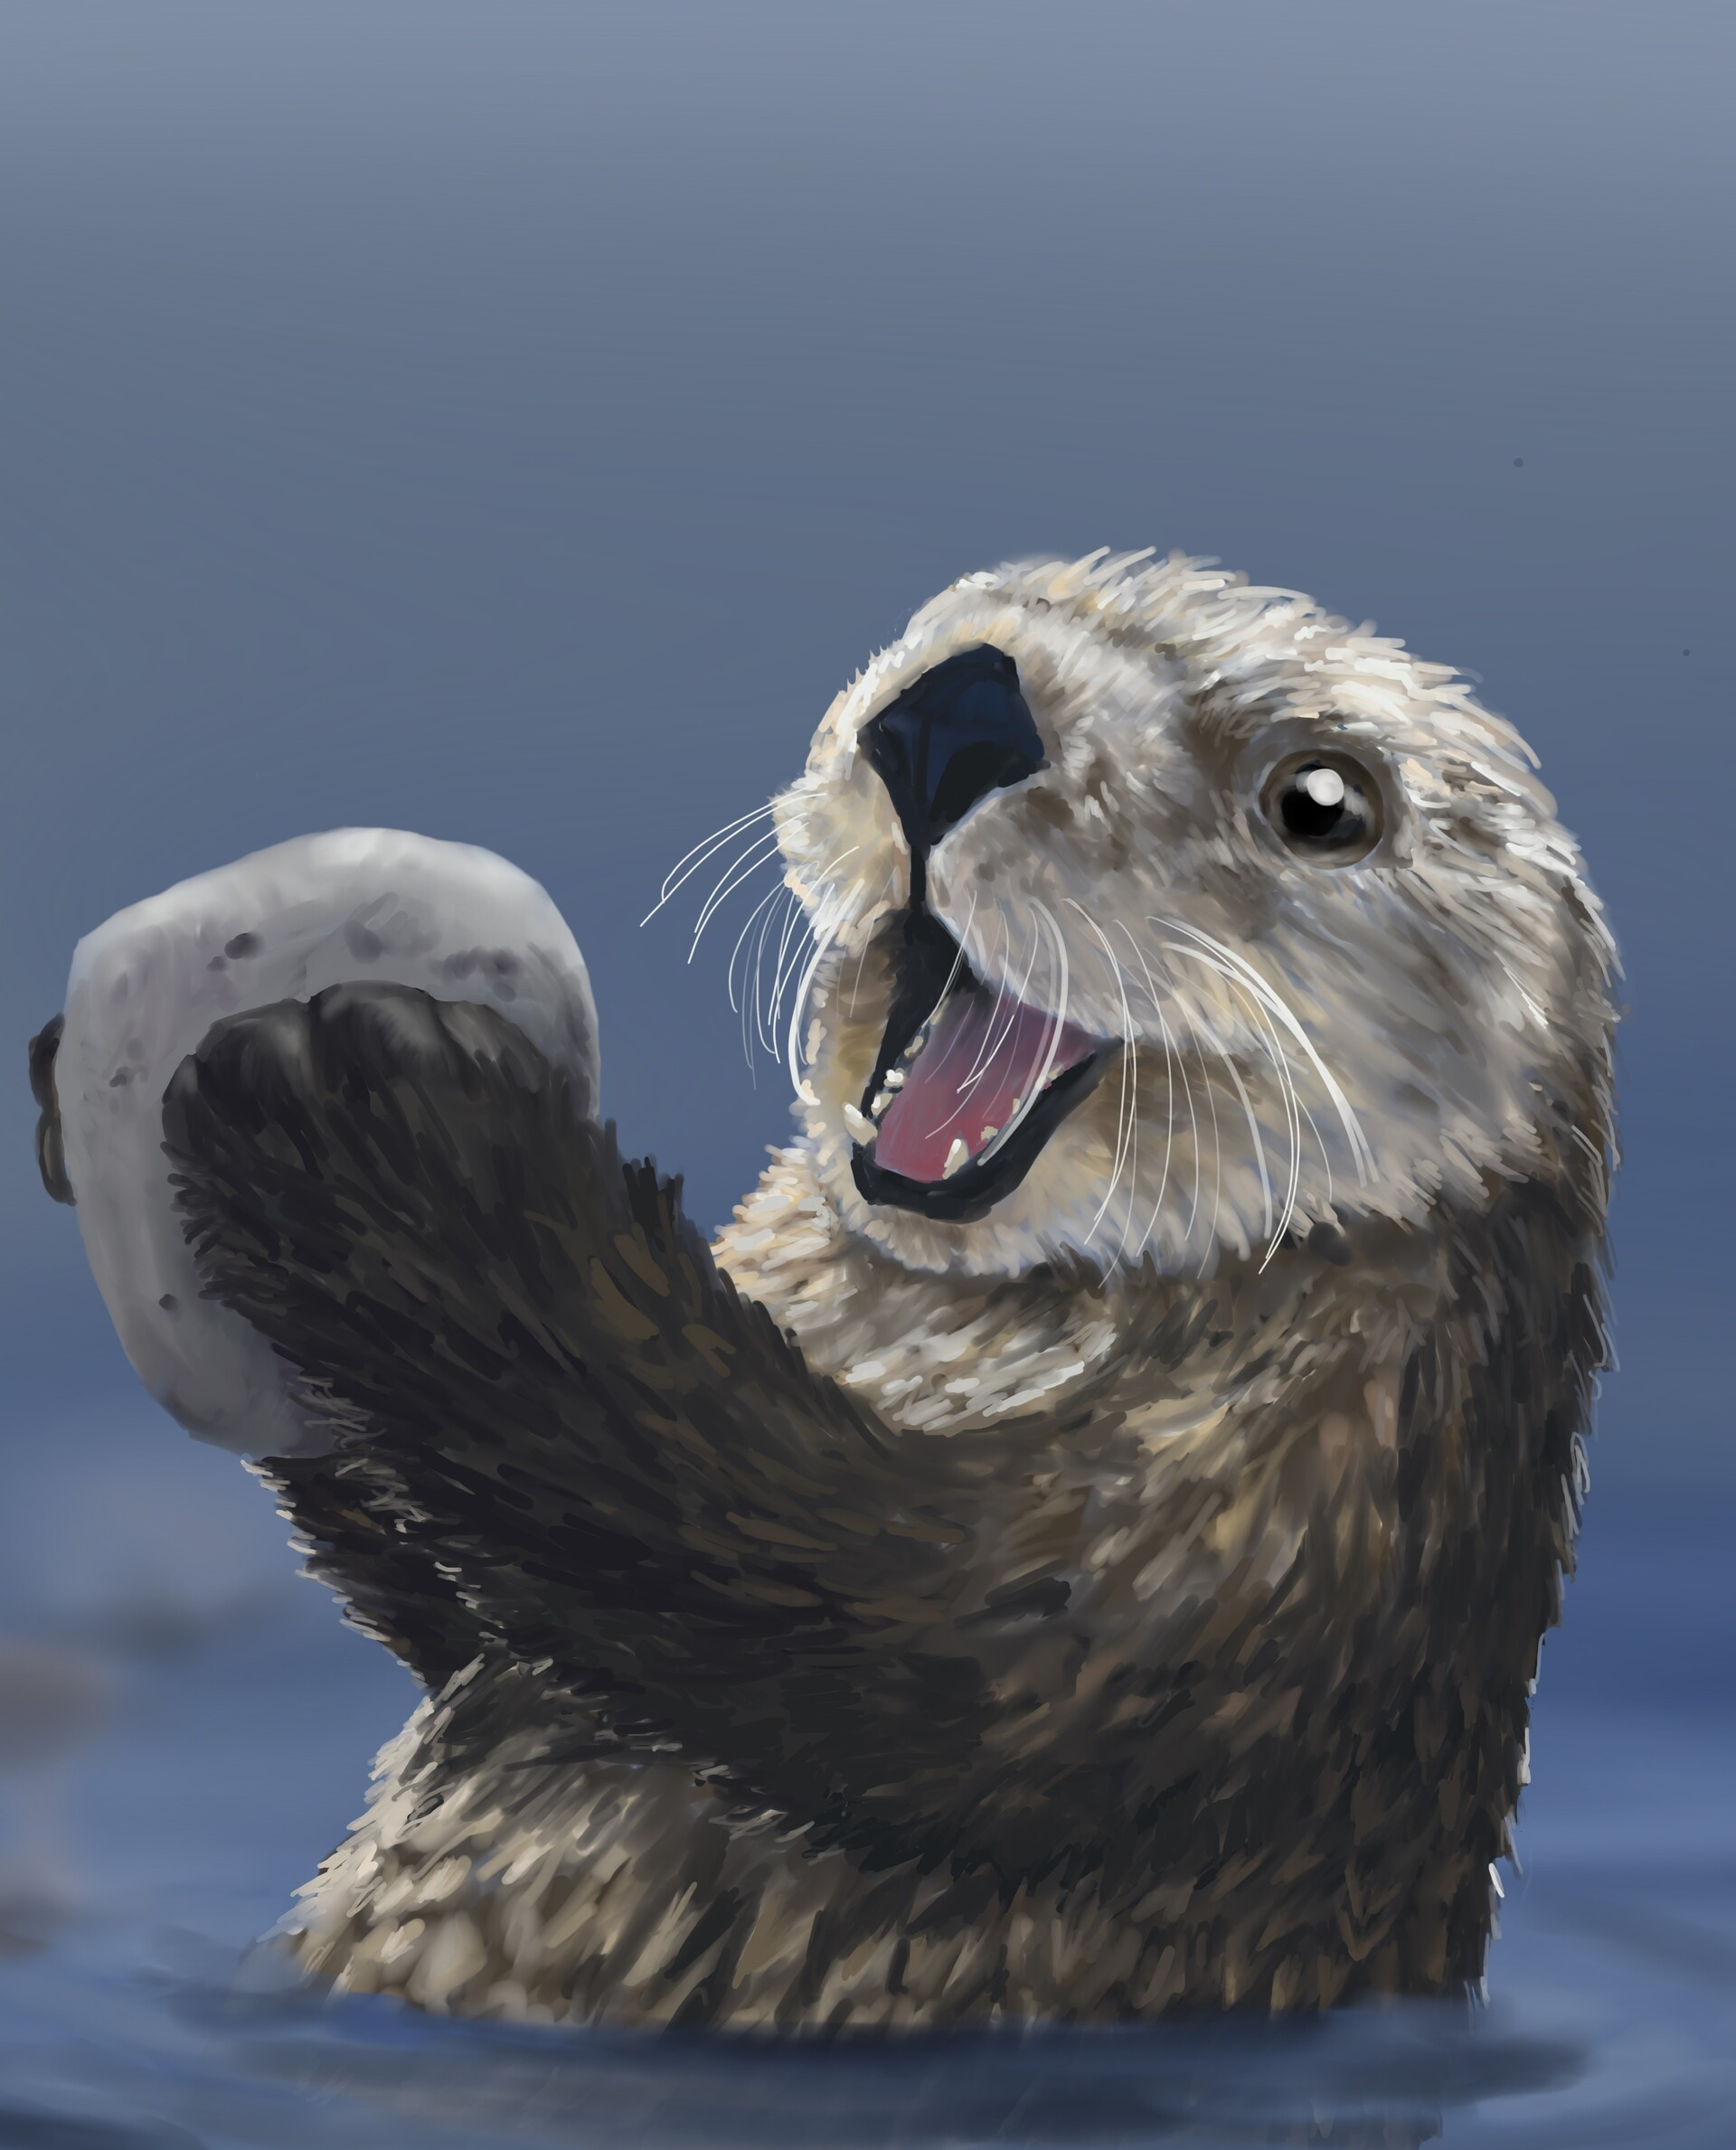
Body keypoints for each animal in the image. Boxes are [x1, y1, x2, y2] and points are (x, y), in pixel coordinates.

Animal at [30, 550, 1616, 2030]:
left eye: (1325, 798)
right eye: (954, 620)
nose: (957, 709)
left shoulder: (1297, 1530)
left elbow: (847, 1602)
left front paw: (388, 1121)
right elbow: (466, 1601)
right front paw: (72, 1087)